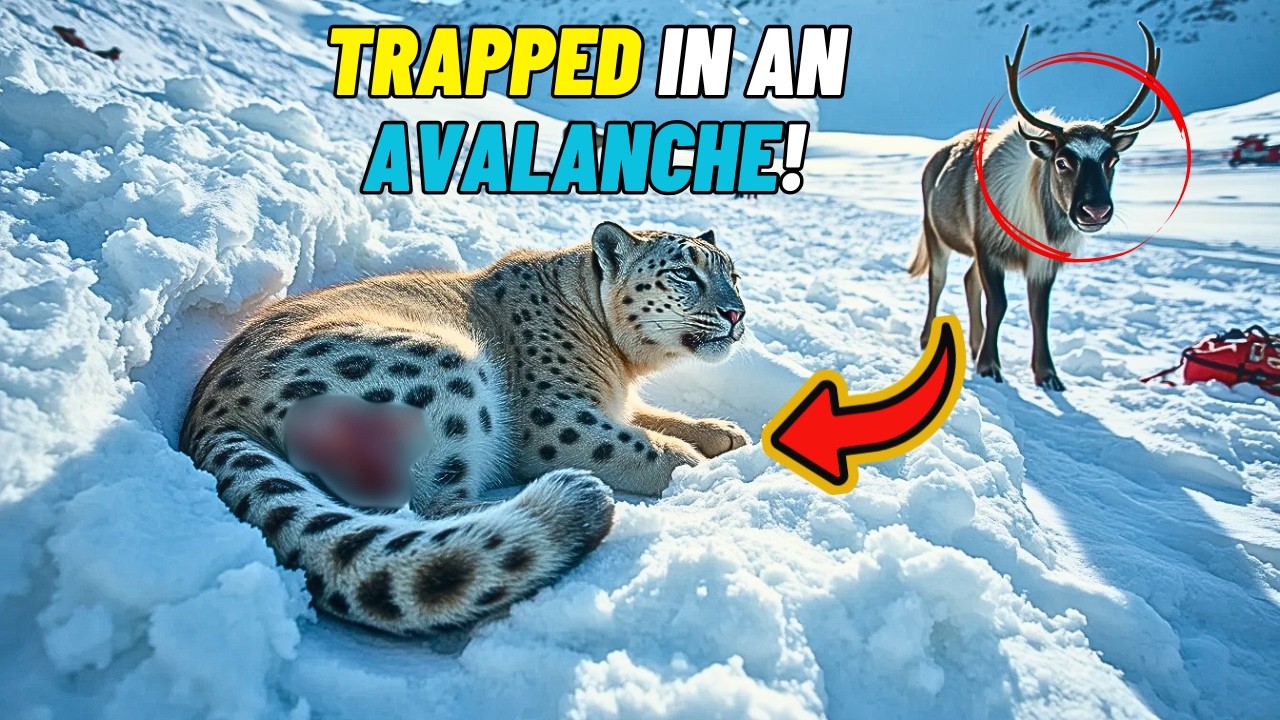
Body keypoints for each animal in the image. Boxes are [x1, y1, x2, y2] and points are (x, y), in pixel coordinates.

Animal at [178, 222, 750, 636]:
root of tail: (208, 418)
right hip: (446, 372)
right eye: (684, 274)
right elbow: (641, 444)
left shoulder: (618, 401)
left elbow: (657, 419)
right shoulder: (556, 419)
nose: (736, 312)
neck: (620, 366)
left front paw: (729, 435)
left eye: (734, 274)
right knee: (431, 507)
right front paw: (700, 472)